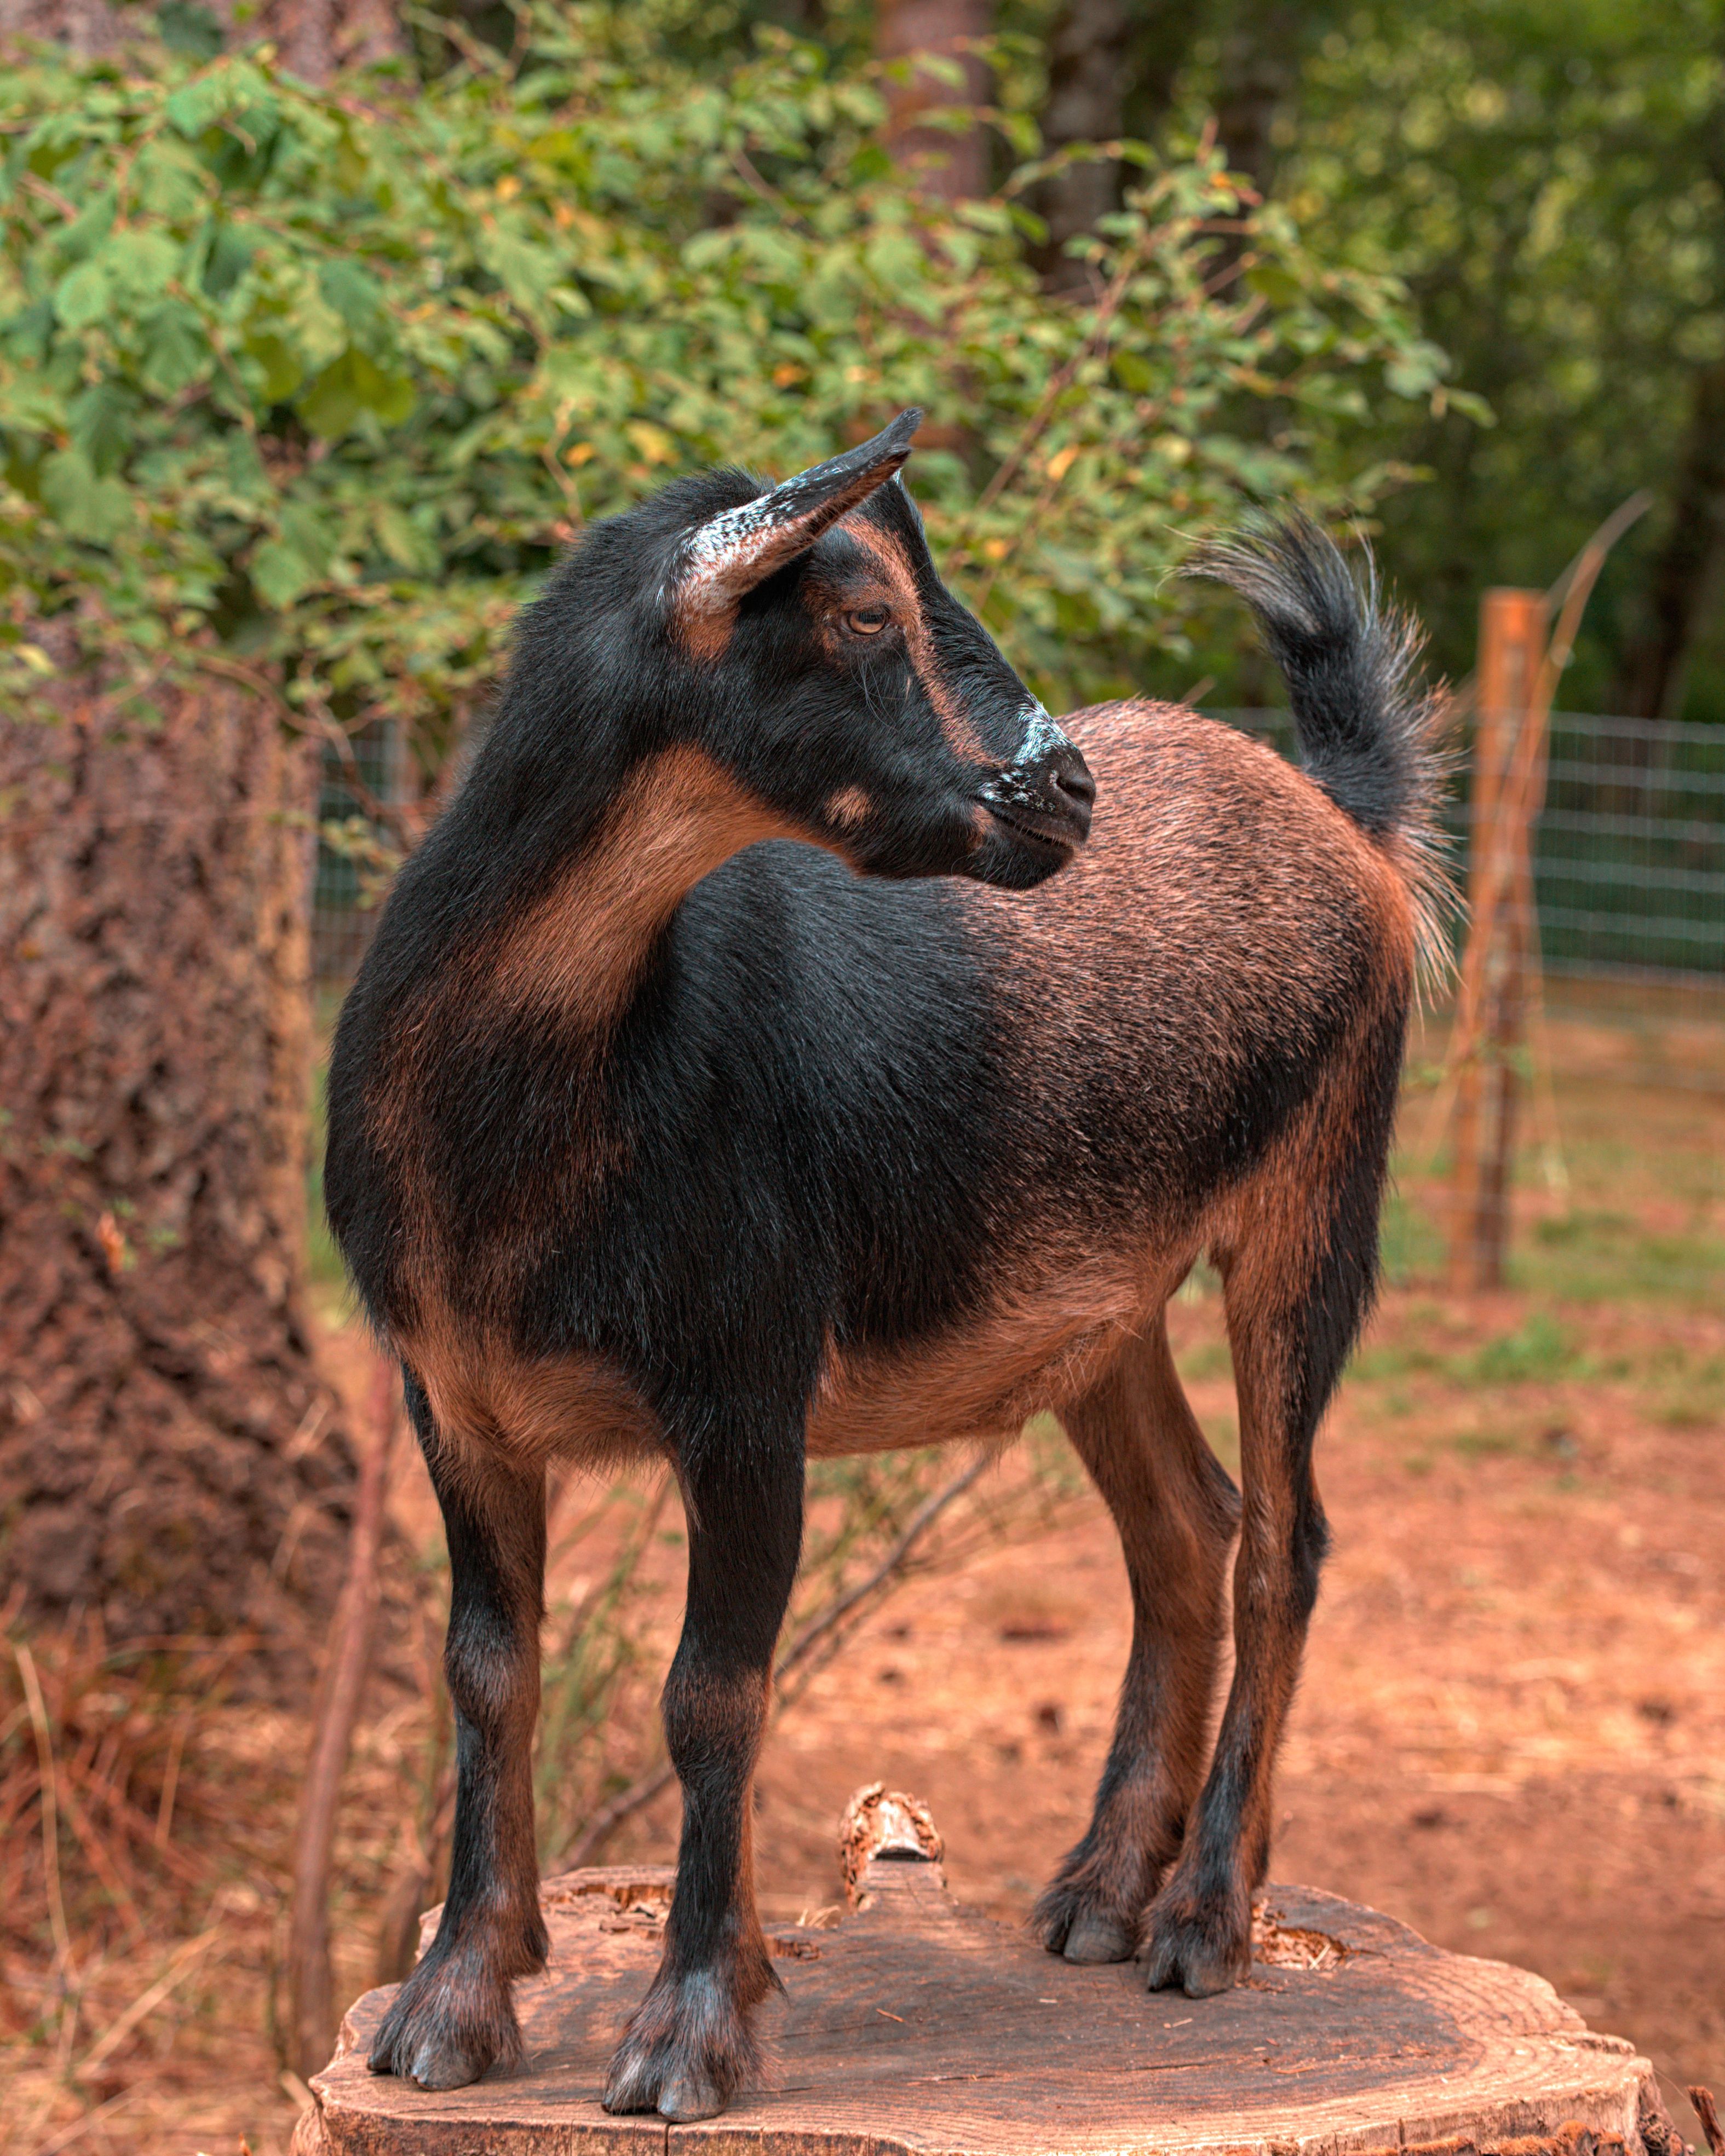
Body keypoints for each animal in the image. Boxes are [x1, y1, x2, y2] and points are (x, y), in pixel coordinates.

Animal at [324, 409, 1446, 2122]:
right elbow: (483, 1671)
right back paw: (1097, 1891)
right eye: (860, 615)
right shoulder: (451, 1395)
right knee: (1183, 1523)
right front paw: (455, 1998)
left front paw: (690, 2031)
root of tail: (1344, 816)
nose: (1061, 787)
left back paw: (1202, 1918)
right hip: (1098, 1292)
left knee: (1283, 1542)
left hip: (1316, 1196)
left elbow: (709, 1693)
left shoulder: (746, 1384)